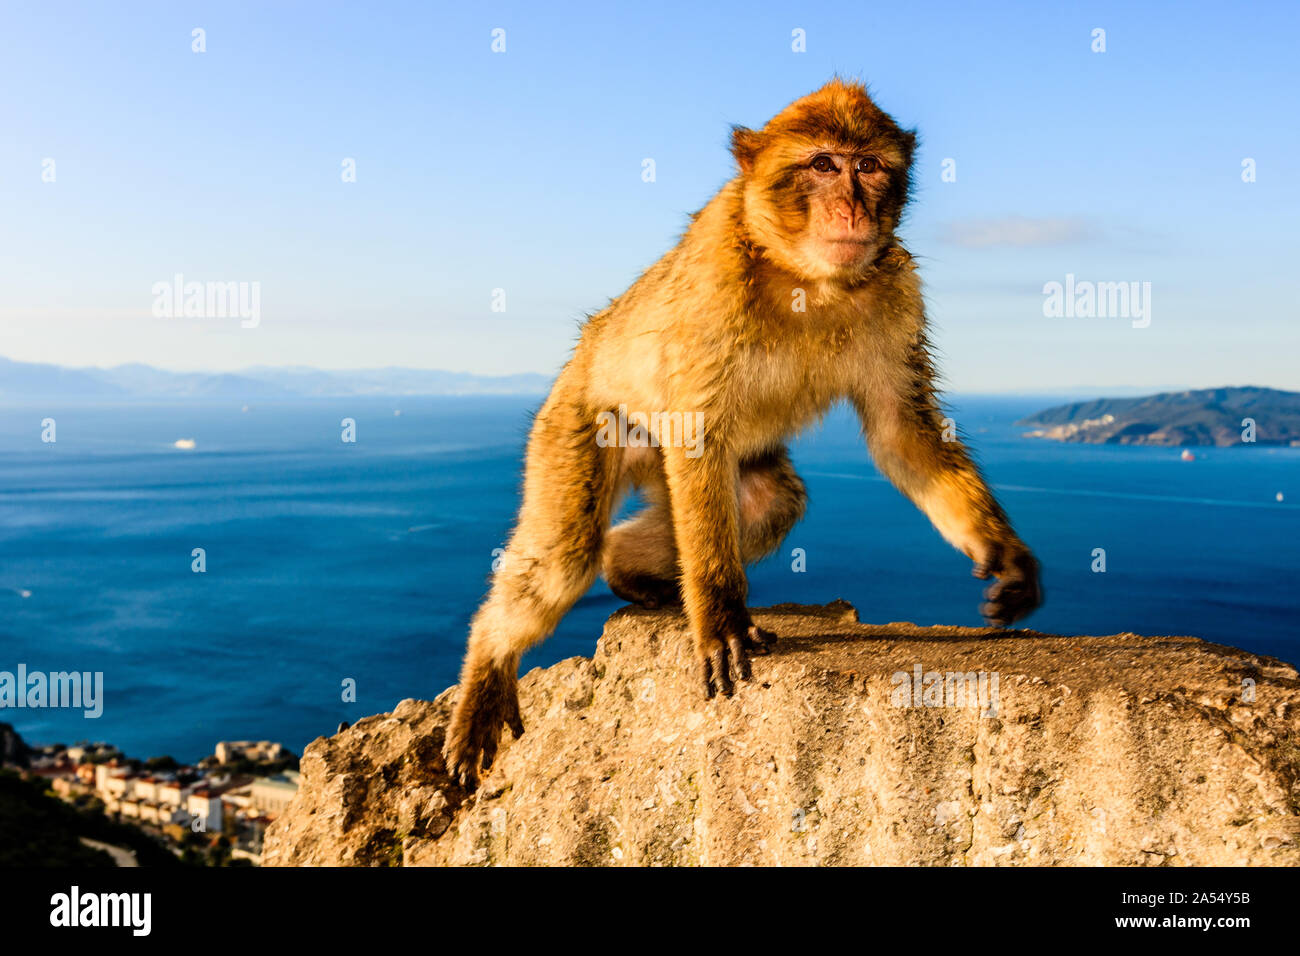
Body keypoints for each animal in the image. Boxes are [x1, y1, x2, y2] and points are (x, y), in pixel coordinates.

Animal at [443, 78, 1041, 786]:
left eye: (868, 166)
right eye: (822, 165)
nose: (852, 209)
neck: (806, 275)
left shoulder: (898, 291)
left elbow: (903, 435)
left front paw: (1004, 553)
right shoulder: (714, 280)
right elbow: (698, 432)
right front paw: (723, 621)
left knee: (768, 503)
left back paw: (629, 570)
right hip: (577, 422)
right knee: (565, 556)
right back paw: (491, 663)